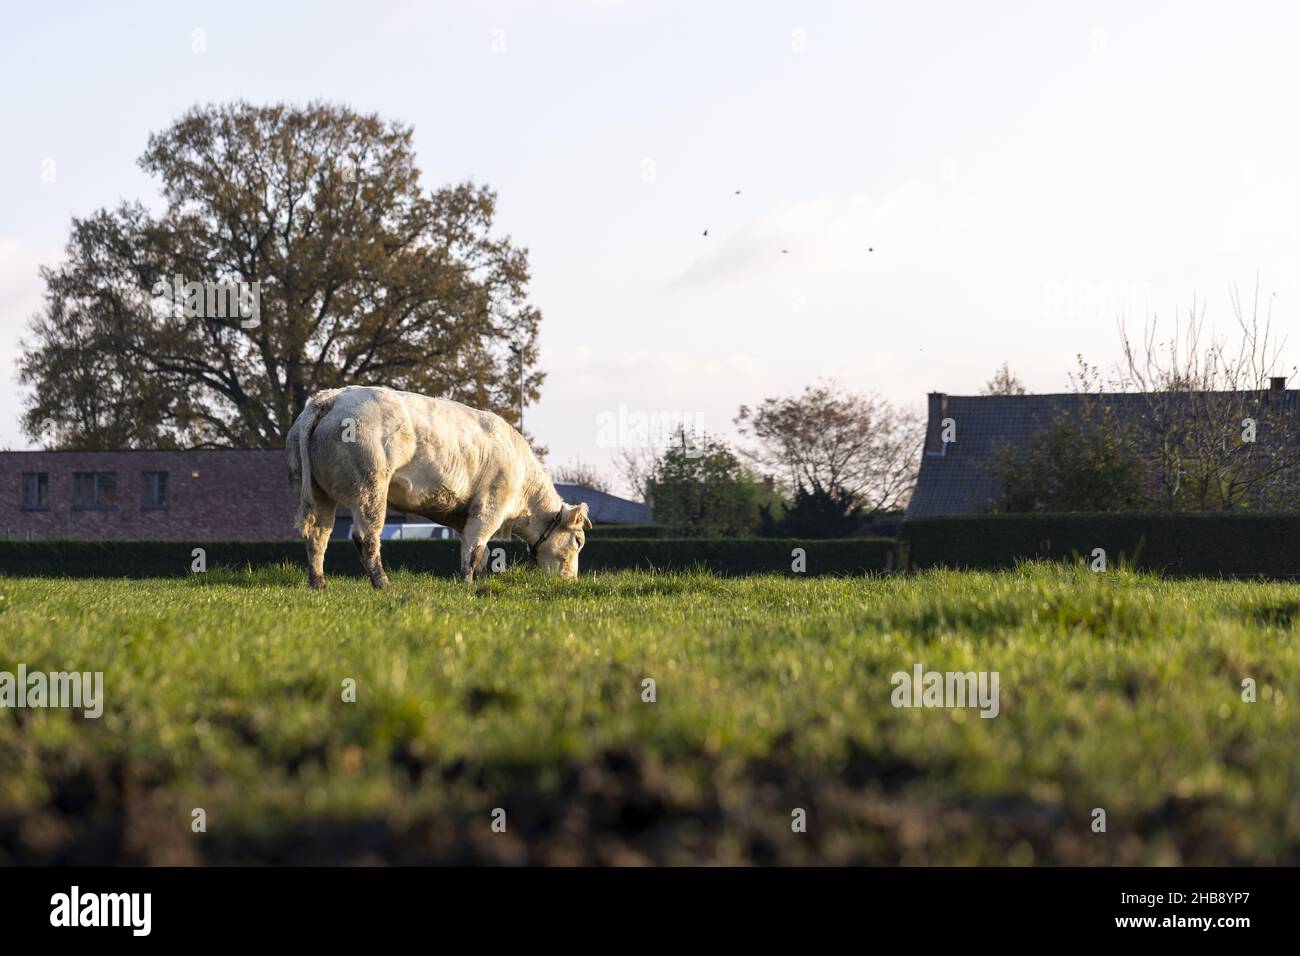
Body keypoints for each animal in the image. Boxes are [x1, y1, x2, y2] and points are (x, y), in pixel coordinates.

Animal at [286, 385, 591, 588]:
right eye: (578, 541)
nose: (571, 581)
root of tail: (331, 397)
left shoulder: (464, 515)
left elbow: (475, 549)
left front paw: (477, 580)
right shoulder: (490, 507)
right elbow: (475, 547)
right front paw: (467, 585)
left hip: (318, 492)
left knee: (318, 535)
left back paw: (319, 583)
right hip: (370, 489)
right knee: (366, 538)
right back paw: (383, 583)